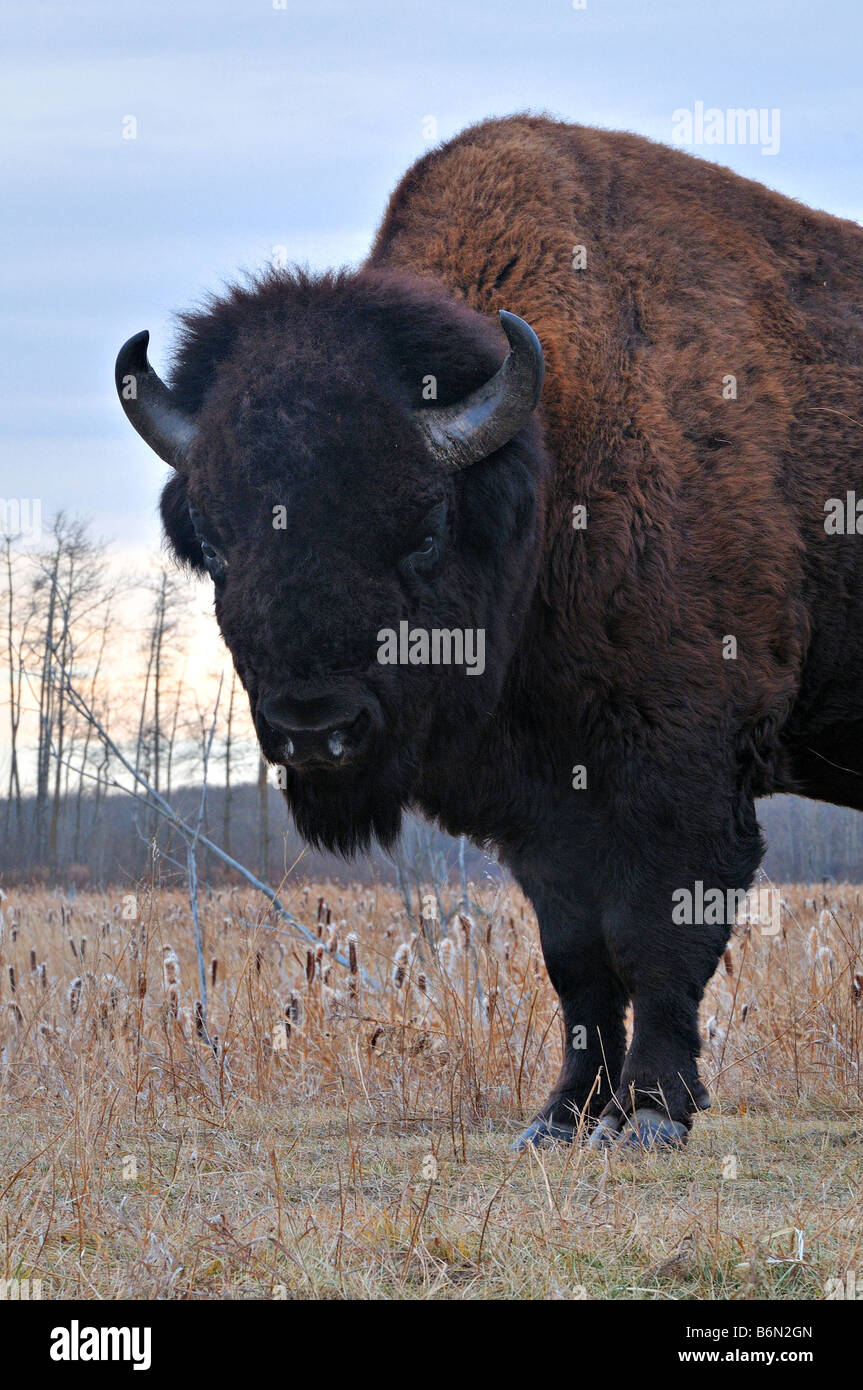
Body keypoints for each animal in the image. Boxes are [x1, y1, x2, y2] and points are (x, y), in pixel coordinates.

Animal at [115, 114, 863, 1151]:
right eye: (216, 545)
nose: (316, 730)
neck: (553, 458)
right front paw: (561, 1116)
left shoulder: (683, 775)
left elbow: (656, 937)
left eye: (426, 527)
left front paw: (651, 1113)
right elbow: (577, 960)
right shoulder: (540, 809)